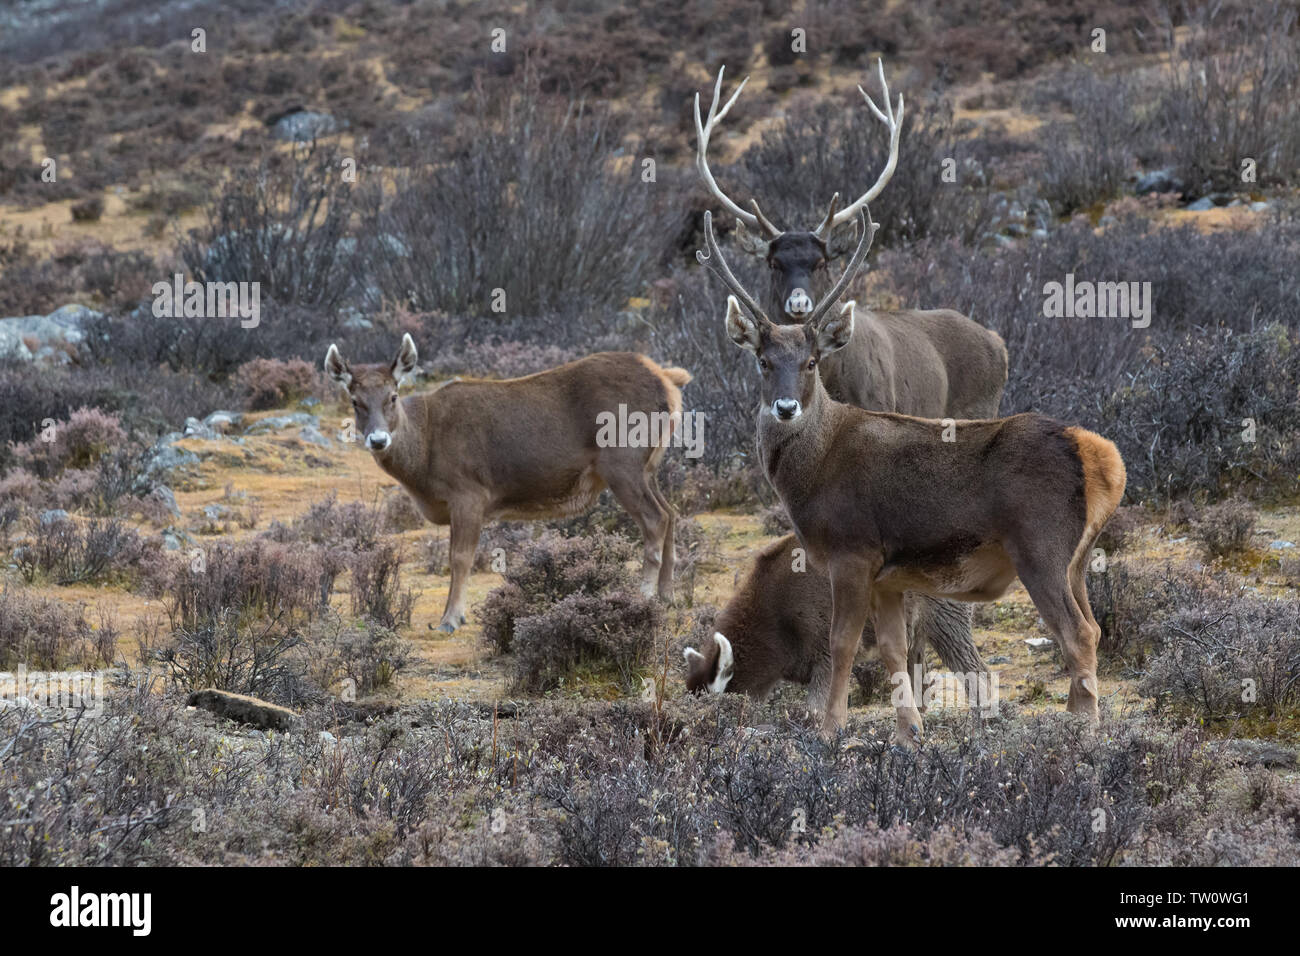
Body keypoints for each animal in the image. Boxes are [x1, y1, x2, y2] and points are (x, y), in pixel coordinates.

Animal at [324, 334, 691, 633]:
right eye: (355, 401)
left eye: (393, 396)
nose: (378, 440)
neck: (424, 463)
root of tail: (669, 383)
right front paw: (453, 615)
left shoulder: (468, 490)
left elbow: (460, 557)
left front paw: (450, 619)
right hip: (647, 466)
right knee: (672, 512)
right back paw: (668, 596)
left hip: (622, 460)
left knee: (655, 518)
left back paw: (643, 597)